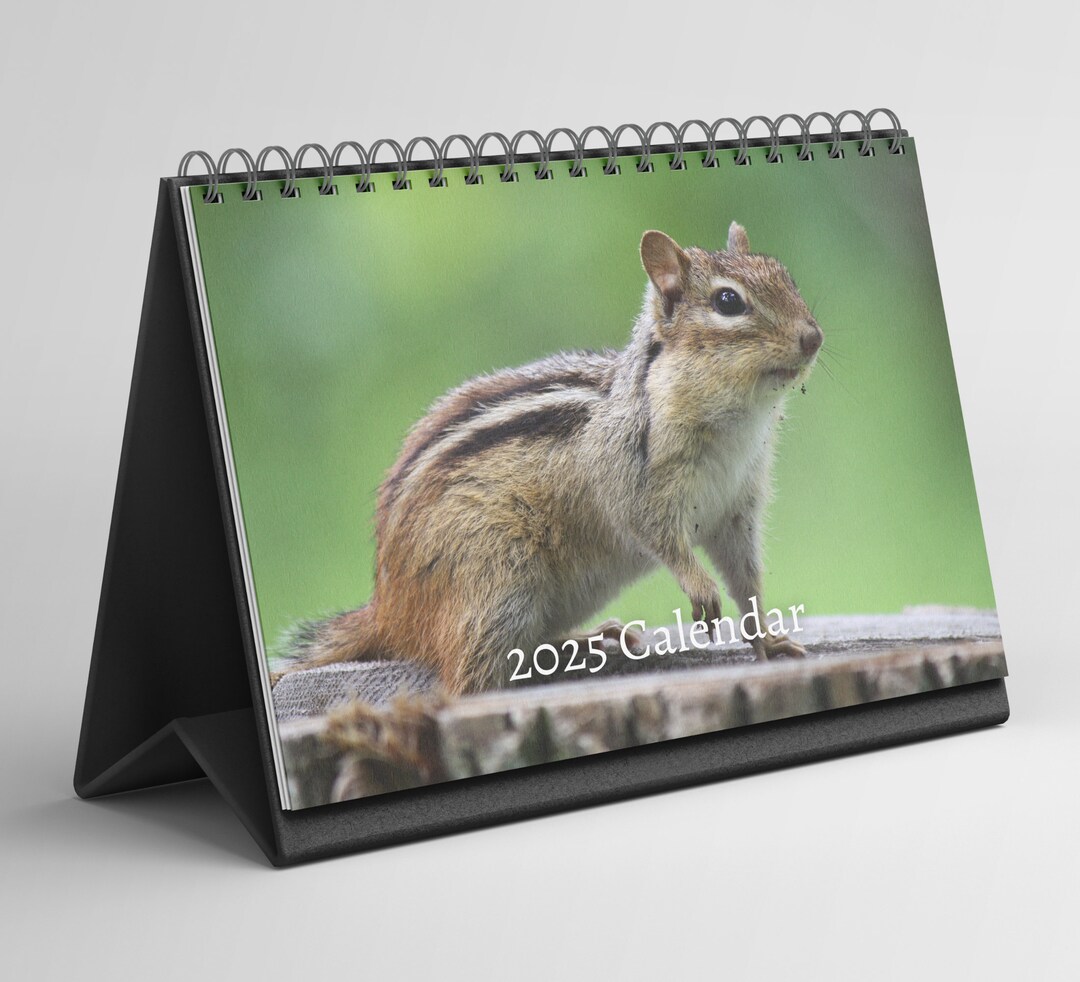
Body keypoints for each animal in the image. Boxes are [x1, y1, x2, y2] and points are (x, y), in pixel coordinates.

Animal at [273, 221, 822, 696]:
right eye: (728, 301)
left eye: (787, 277)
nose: (813, 337)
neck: (739, 422)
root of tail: (390, 611)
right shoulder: (631, 477)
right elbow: (654, 532)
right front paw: (701, 587)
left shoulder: (736, 507)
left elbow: (746, 576)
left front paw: (768, 638)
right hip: (497, 584)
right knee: (466, 683)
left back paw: (589, 641)